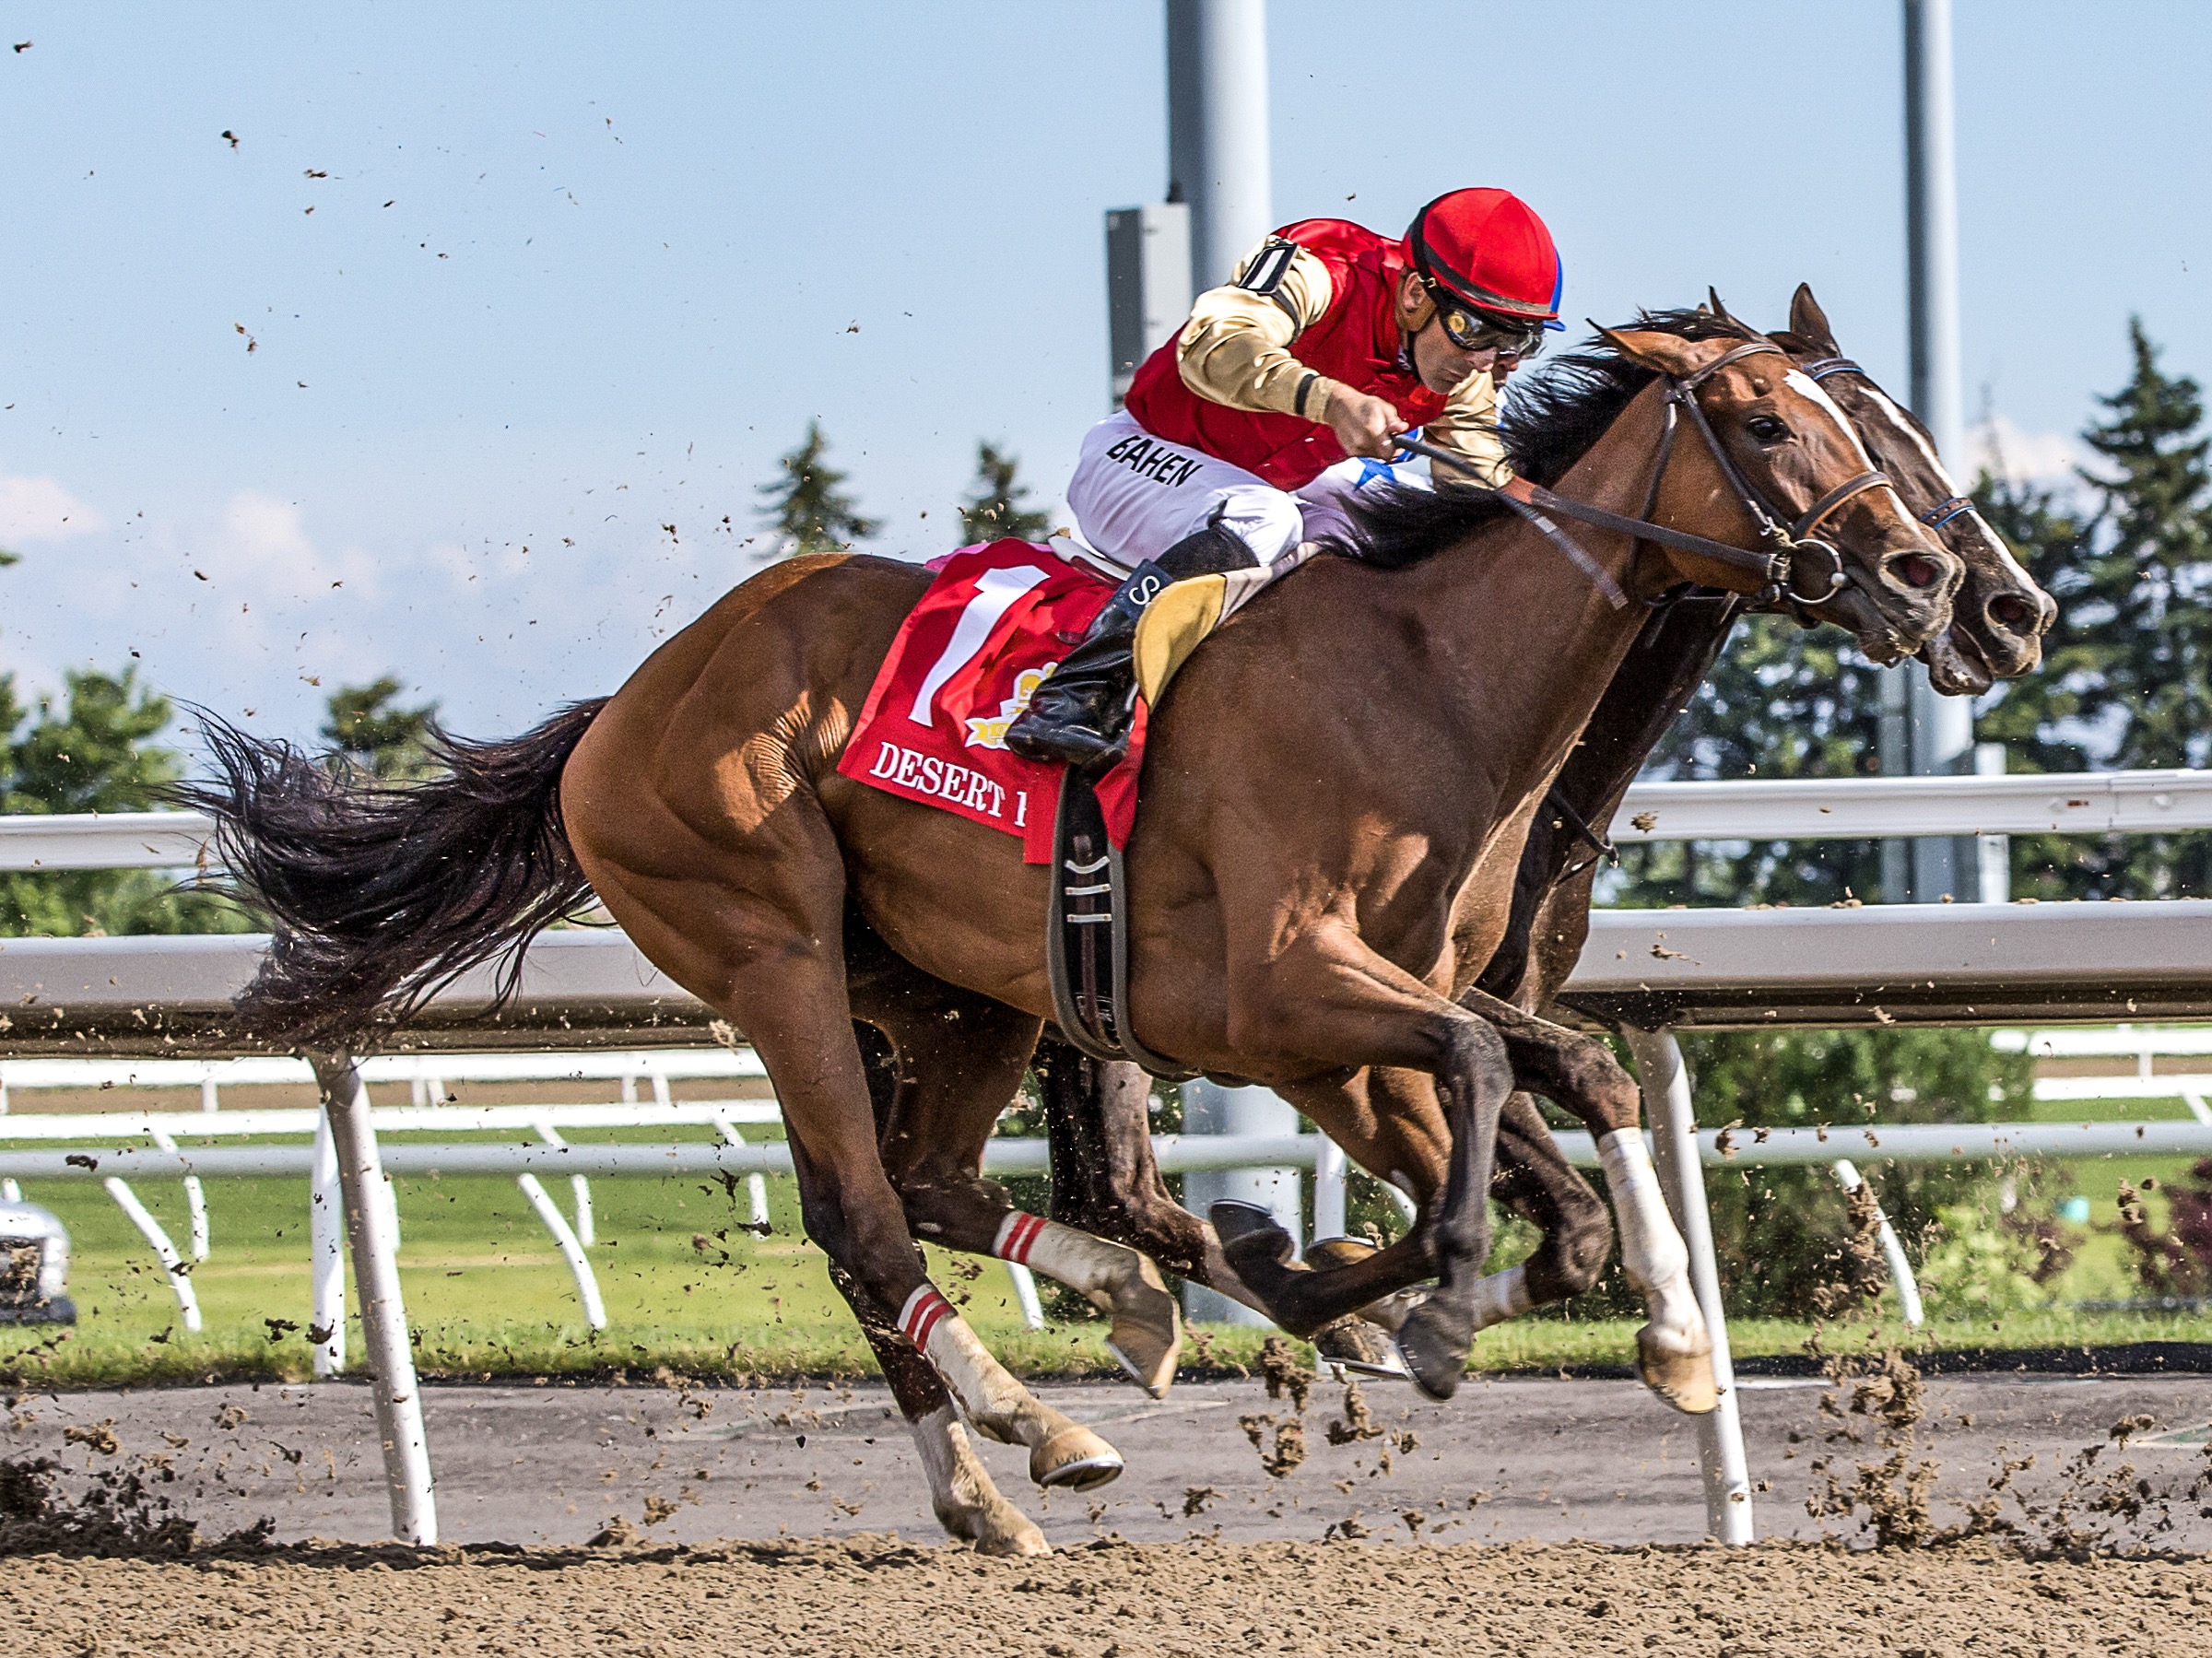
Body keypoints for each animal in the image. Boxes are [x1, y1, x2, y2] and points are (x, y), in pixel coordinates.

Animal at [190, 308, 1962, 1556]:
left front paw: (1620, 1320)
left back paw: (1106, 1334)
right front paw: (1413, 1297)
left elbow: (1564, 1089)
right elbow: (1482, 1091)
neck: (1426, 676)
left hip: (958, 991)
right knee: (863, 1218)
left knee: (927, 1179)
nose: (1936, 574)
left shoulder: (1381, 1000)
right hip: (767, 942)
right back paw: (1017, 1444)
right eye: (1763, 420)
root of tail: (623, 706)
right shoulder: (1286, 998)